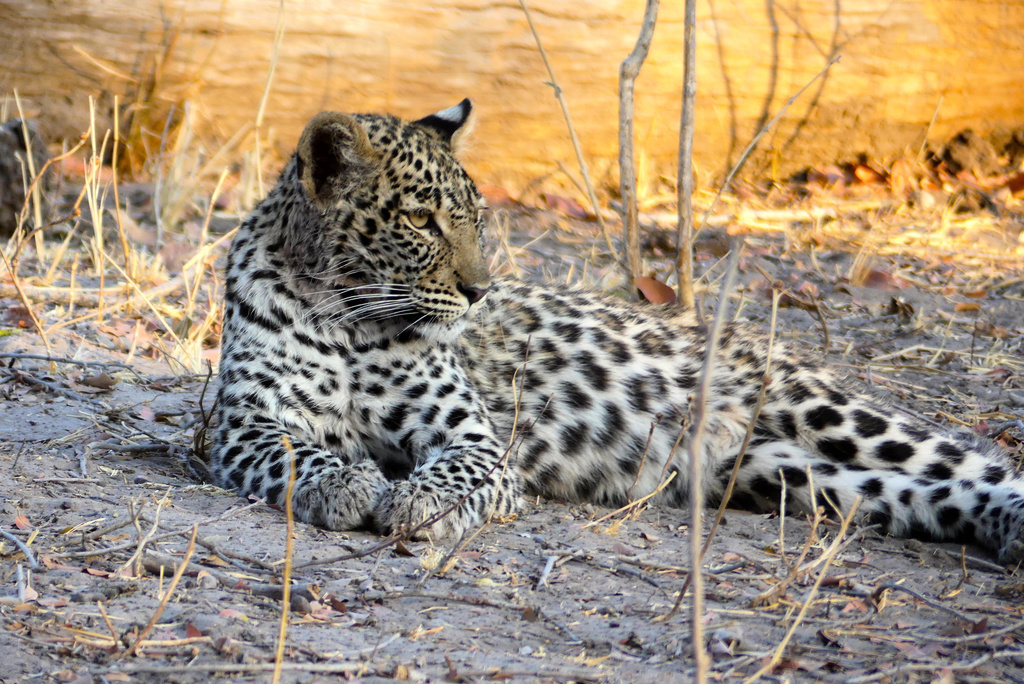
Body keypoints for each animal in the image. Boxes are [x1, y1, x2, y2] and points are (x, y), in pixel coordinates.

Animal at [211, 99, 1024, 563]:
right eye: (420, 221)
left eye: (476, 220)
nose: (480, 292)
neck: (348, 320)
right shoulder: (237, 424)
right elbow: (294, 451)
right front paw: (348, 483)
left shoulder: (475, 440)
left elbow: (455, 470)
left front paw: (416, 502)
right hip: (788, 473)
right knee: (925, 493)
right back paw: (1001, 532)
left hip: (829, 413)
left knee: (976, 464)